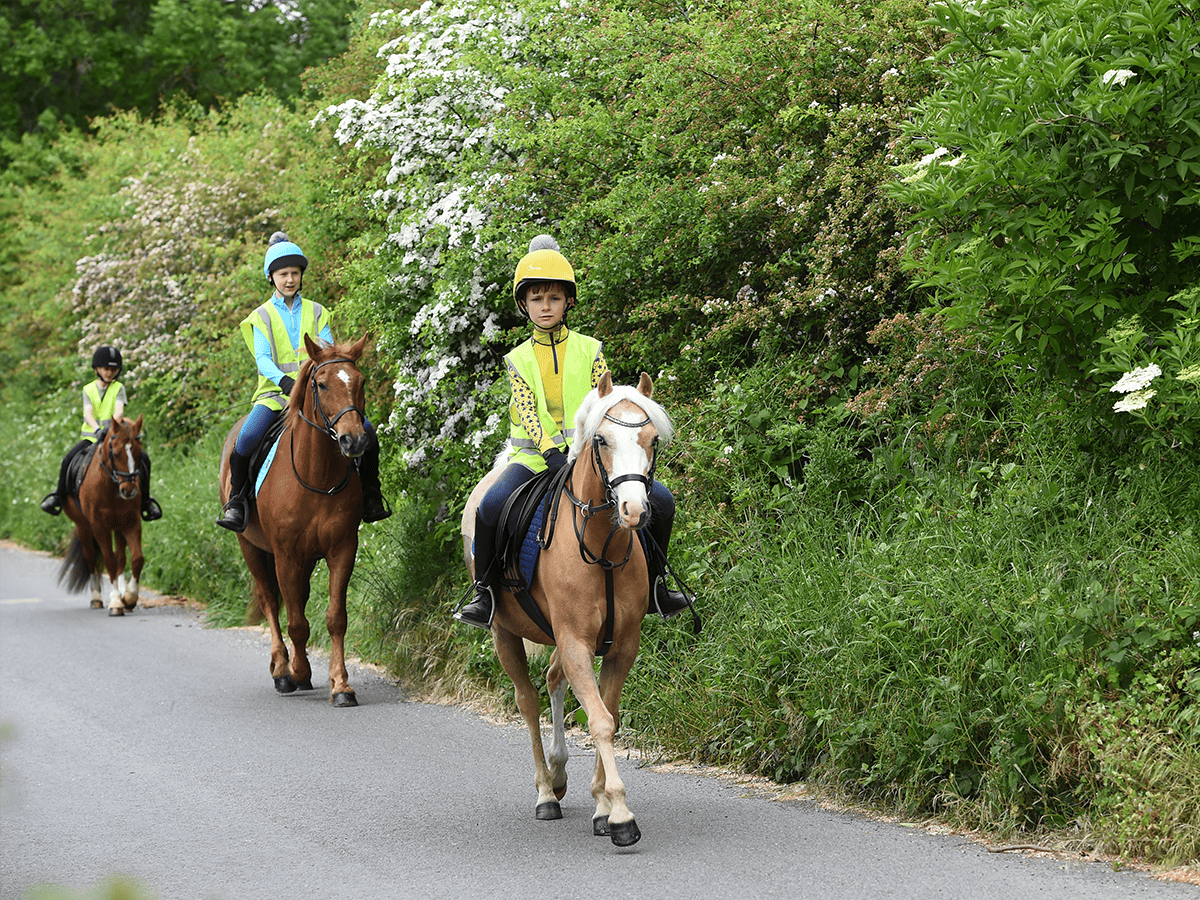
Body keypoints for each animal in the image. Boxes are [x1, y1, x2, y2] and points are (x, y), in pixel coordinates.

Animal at [58, 414, 146, 616]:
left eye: (139, 453)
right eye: (116, 453)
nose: (129, 490)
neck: (111, 486)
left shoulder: (131, 523)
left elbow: (137, 558)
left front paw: (129, 597)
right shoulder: (99, 526)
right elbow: (109, 561)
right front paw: (115, 602)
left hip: (118, 527)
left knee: (121, 557)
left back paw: (122, 593)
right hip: (83, 527)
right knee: (90, 558)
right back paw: (96, 598)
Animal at [218, 334, 371, 708]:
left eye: (360, 382)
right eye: (321, 384)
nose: (354, 440)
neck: (316, 474)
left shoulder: (341, 549)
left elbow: (335, 618)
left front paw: (341, 685)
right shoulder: (285, 555)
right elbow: (295, 621)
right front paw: (297, 672)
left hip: (305, 558)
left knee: (295, 599)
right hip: (251, 548)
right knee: (271, 602)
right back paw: (282, 670)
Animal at [461, 371, 673, 847]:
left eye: (651, 439)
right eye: (602, 440)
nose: (635, 510)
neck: (602, 547)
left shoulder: (621, 645)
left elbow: (608, 715)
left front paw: (603, 805)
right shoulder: (576, 640)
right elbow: (599, 721)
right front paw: (621, 816)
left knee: (554, 679)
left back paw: (558, 775)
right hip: (504, 633)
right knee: (527, 700)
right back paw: (545, 791)